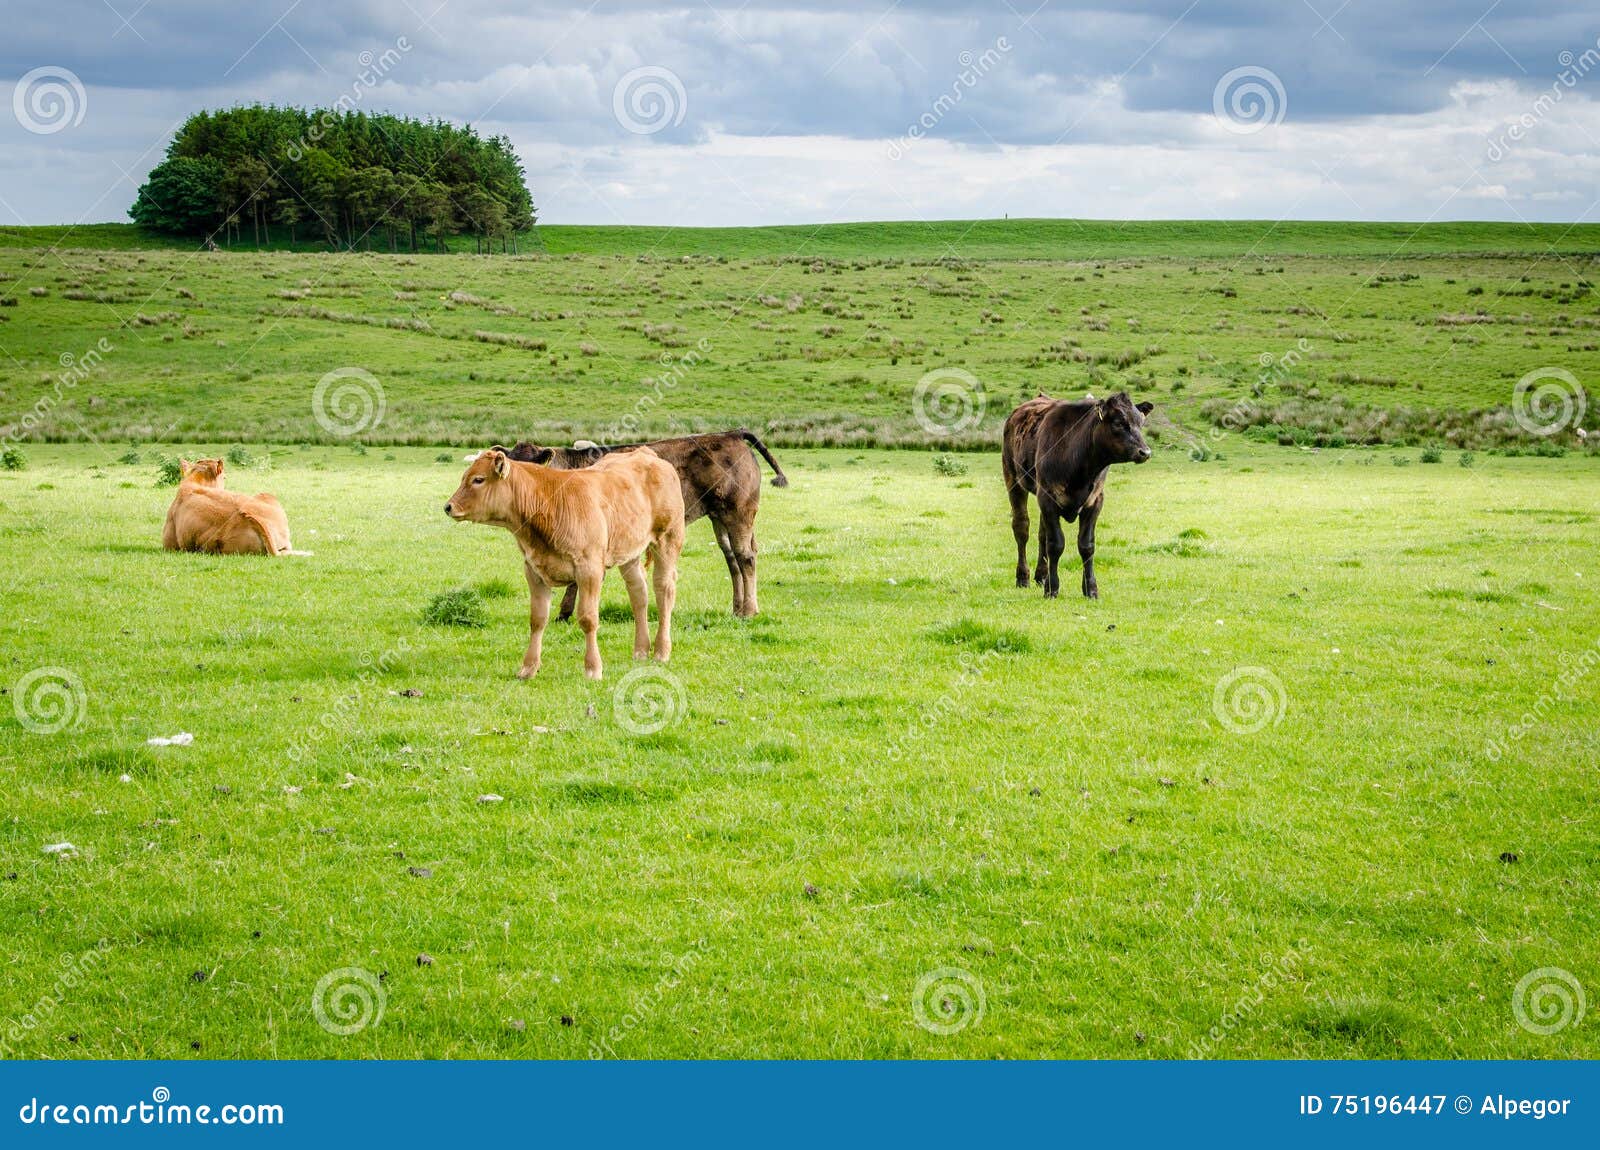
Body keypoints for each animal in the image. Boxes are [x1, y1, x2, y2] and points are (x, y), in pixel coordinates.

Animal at [444, 446, 685, 681]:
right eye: (464, 476)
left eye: (478, 479)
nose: (448, 506)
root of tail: (645, 453)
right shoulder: (534, 570)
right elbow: (537, 619)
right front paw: (528, 668)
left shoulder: (589, 570)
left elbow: (588, 619)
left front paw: (593, 668)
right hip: (628, 552)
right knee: (638, 594)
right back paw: (641, 650)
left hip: (668, 540)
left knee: (664, 590)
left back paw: (661, 651)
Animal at [506, 430, 787, 619]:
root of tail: (732, 433)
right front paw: (564, 614)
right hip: (719, 516)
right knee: (732, 558)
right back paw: (737, 608)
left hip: (738, 511)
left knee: (746, 557)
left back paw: (749, 610)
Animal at [1001, 392, 1154, 599]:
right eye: (1118, 423)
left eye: (1140, 422)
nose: (1145, 452)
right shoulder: (1047, 498)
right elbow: (1055, 544)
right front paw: (1052, 588)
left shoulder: (1095, 501)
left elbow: (1086, 545)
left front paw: (1091, 588)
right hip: (1013, 479)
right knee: (1021, 528)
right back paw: (1023, 577)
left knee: (1041, 534)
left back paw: (1041, 575)